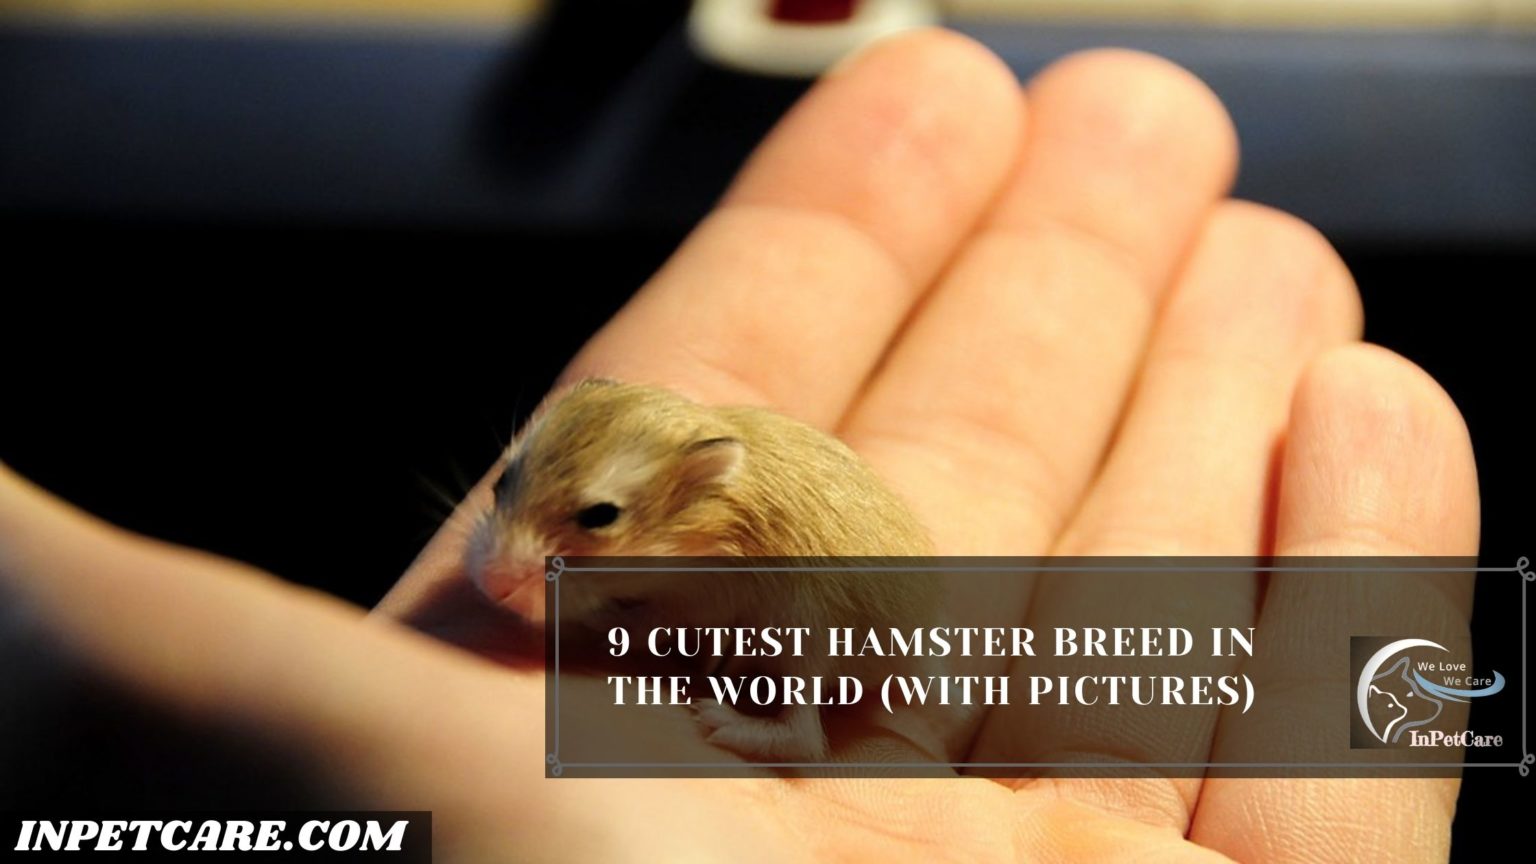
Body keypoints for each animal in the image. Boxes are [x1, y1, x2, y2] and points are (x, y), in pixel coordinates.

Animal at [464, 378, 940, 760]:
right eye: (501, 481)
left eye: (601, 515)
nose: (490, 585)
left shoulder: (702, 600)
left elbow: (644, 620)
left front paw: (600, 620)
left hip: (806, 637)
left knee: (804, 737)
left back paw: (718, 719)